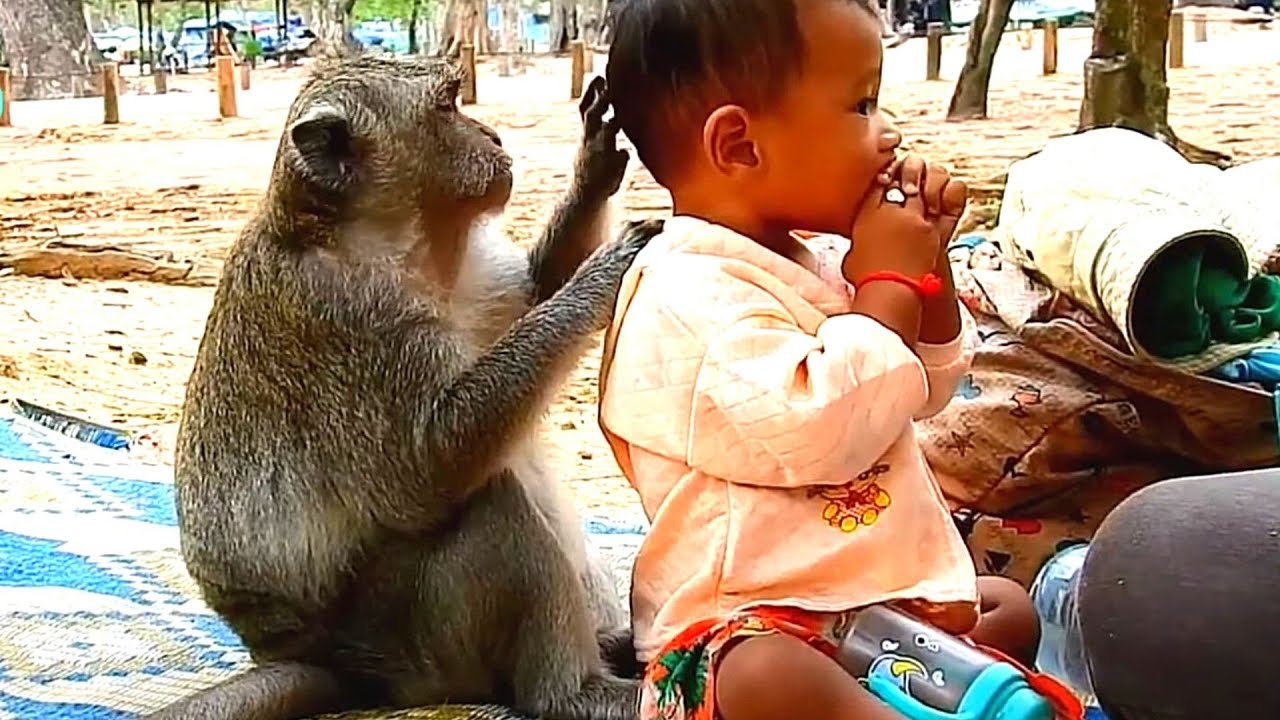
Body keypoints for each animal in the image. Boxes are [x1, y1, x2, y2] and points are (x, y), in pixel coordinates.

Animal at [145, 55, 662, 720]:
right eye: (447, 106)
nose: (493, 138)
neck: (383, 236)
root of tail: (336, 665)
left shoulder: (473, 271)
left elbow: (531, 294)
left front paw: (594, 166)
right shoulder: (355, 317)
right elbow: (431, 464)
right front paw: (605, 274)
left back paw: (615, 645)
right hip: (420, 642)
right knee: (491, 500)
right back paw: (574, 691)